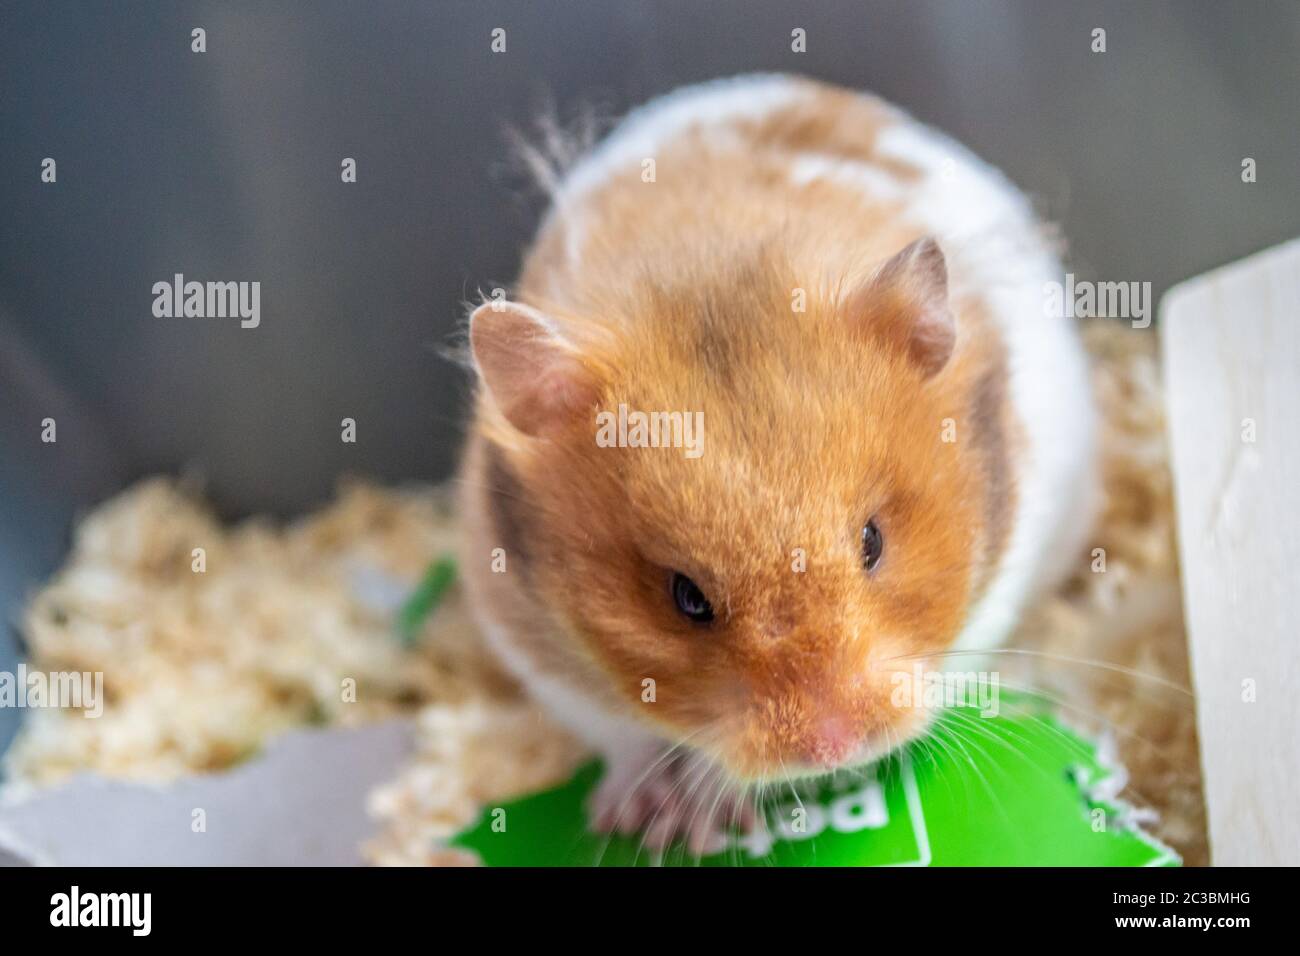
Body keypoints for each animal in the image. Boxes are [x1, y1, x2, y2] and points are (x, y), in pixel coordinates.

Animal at [458, 75, 1097, 853]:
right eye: (686, 597)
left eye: (872, 542)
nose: (835, 746)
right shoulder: (526, 635)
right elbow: (623, 734)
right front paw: (651, 823)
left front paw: (704, 812)